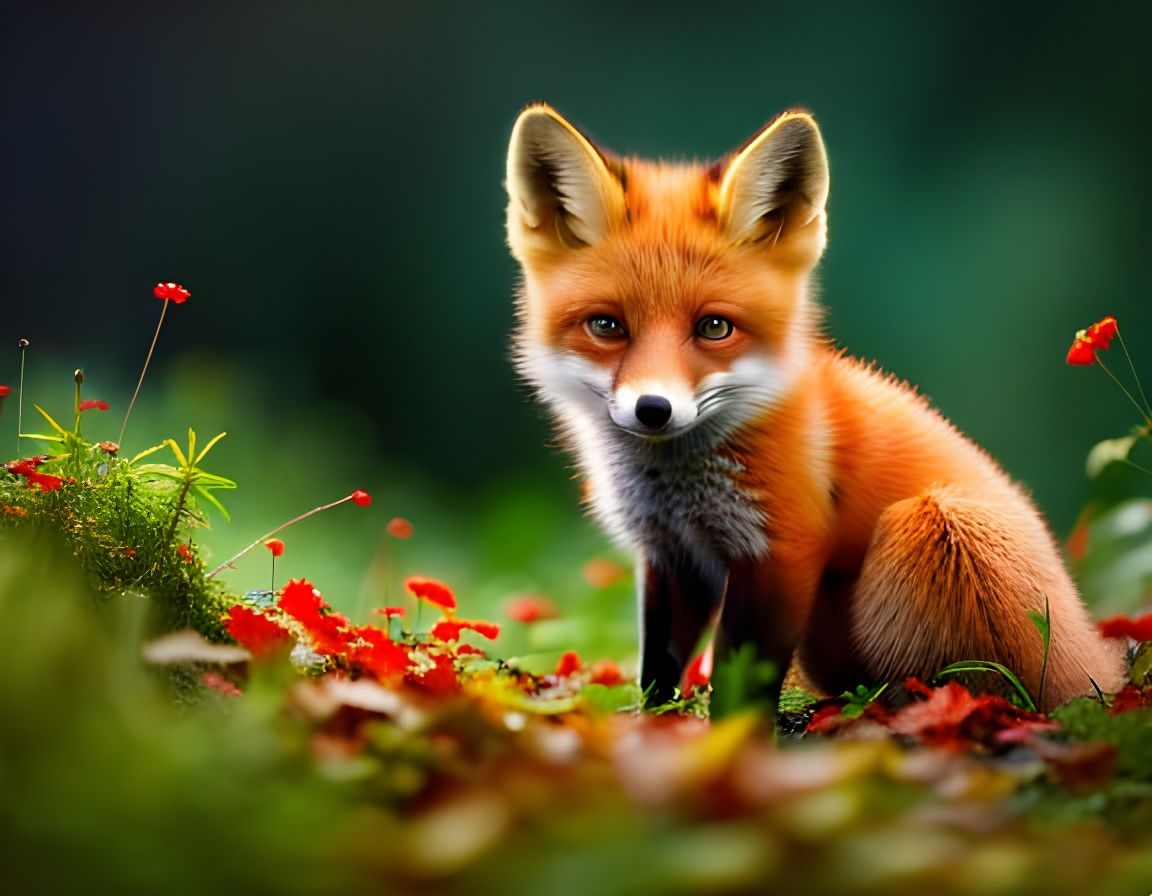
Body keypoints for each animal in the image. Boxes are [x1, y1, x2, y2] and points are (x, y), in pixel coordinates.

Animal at [503, 103, 1126, 712]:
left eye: (714, 327)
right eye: (607, 326)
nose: (653, 409)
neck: (679, 488)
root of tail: (1100, 667)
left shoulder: (783, 548)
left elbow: (741, 685)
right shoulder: (671, 555)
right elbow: (658, 672)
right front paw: (655, 730)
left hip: (931, 527)